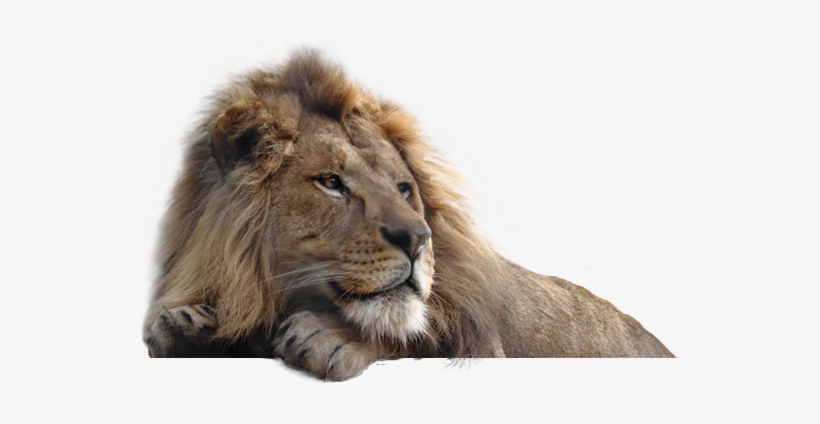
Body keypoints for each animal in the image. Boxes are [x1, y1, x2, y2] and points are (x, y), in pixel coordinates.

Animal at [143, 50, 674, 380]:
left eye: (404, 189)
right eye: (331, 182)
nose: (418, 240)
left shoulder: (484, 342)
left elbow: (419, 330)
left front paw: (330, 337)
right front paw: (189, 324)